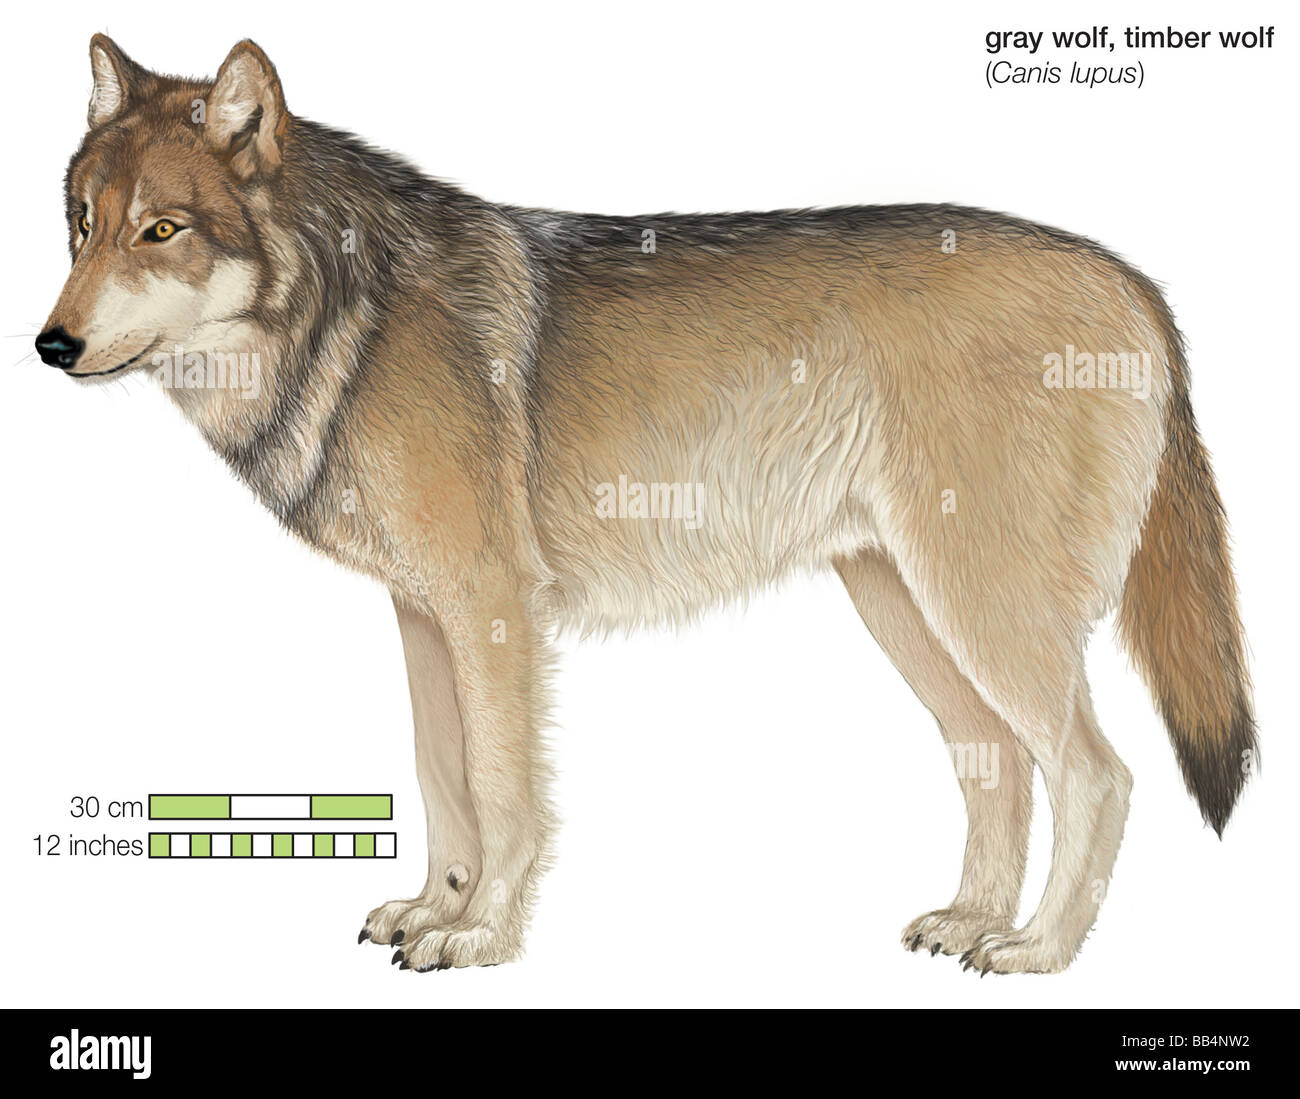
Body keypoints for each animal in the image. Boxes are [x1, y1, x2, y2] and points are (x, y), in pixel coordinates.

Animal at [37, 36, 1255, 974]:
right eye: (80, 224)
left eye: (160, 231)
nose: (50, 344)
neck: (351, 315)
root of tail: (1138, 284)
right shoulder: (424, 614)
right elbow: (441, 783)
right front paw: (434, 908)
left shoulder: (492, 610)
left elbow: (503, 790)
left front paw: (479, 938)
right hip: (910, 612)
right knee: (998, 765)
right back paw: (969, 923)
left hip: (982, 614)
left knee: (1098, 775)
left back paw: (1038, 950)